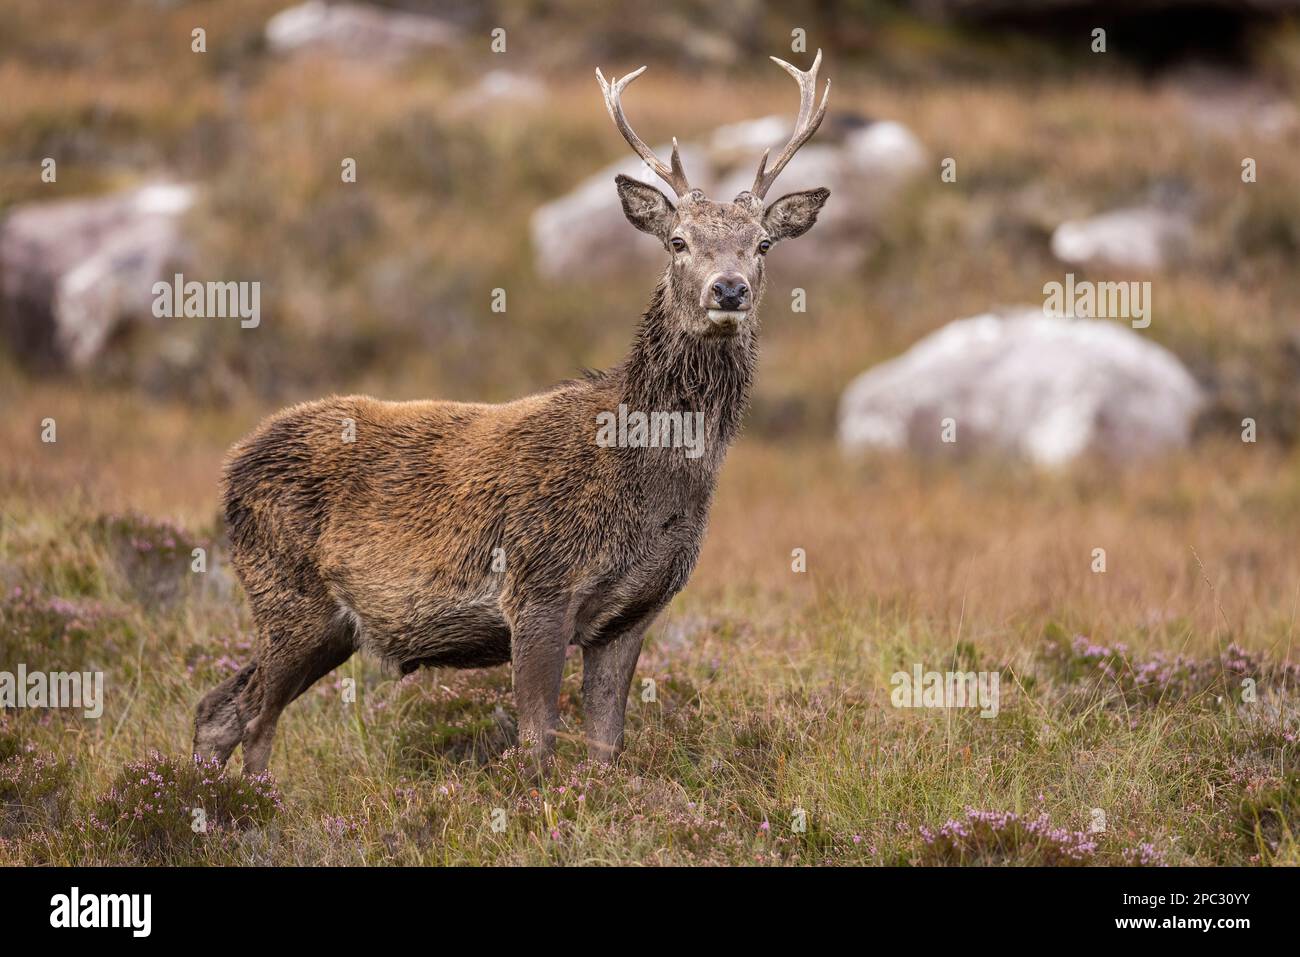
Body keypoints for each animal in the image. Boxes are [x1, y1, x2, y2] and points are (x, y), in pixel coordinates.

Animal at [194, 51, 831, 775]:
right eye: (677, 241)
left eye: (763, 244)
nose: (729, 289)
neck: (649, 474)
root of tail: (232, 467)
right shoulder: (536, 584)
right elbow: (536, 744)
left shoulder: (633, 612)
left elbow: (605, 747)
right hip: (286, 593)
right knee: (253, 717)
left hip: (325, 624)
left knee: (219, 709)